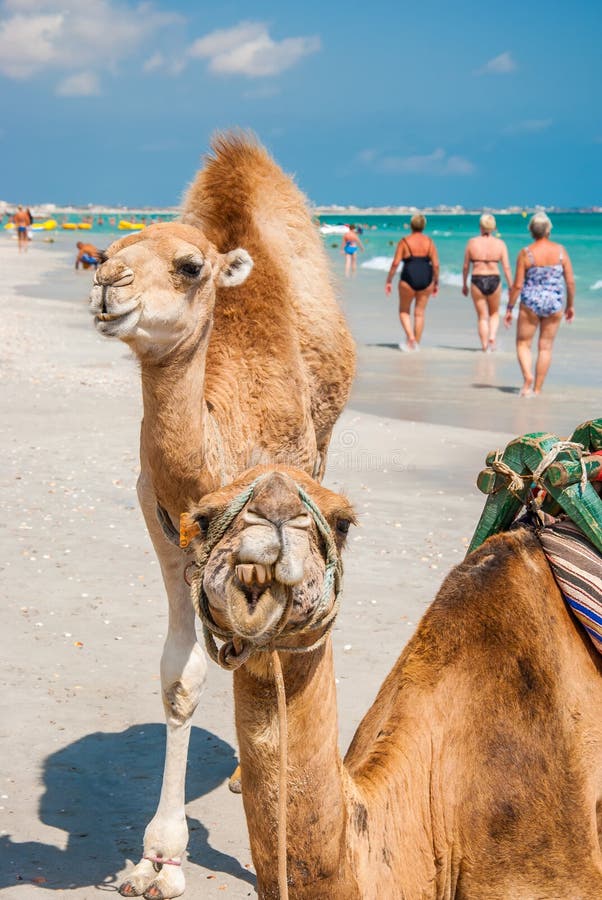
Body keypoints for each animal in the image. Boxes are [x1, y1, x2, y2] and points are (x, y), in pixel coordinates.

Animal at [89, 134, 355, 899]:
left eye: (188, 267)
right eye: (110, 248)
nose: (106, 283)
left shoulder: (290, 499)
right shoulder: (166, 525)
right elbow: (181, 679)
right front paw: (159, 859)